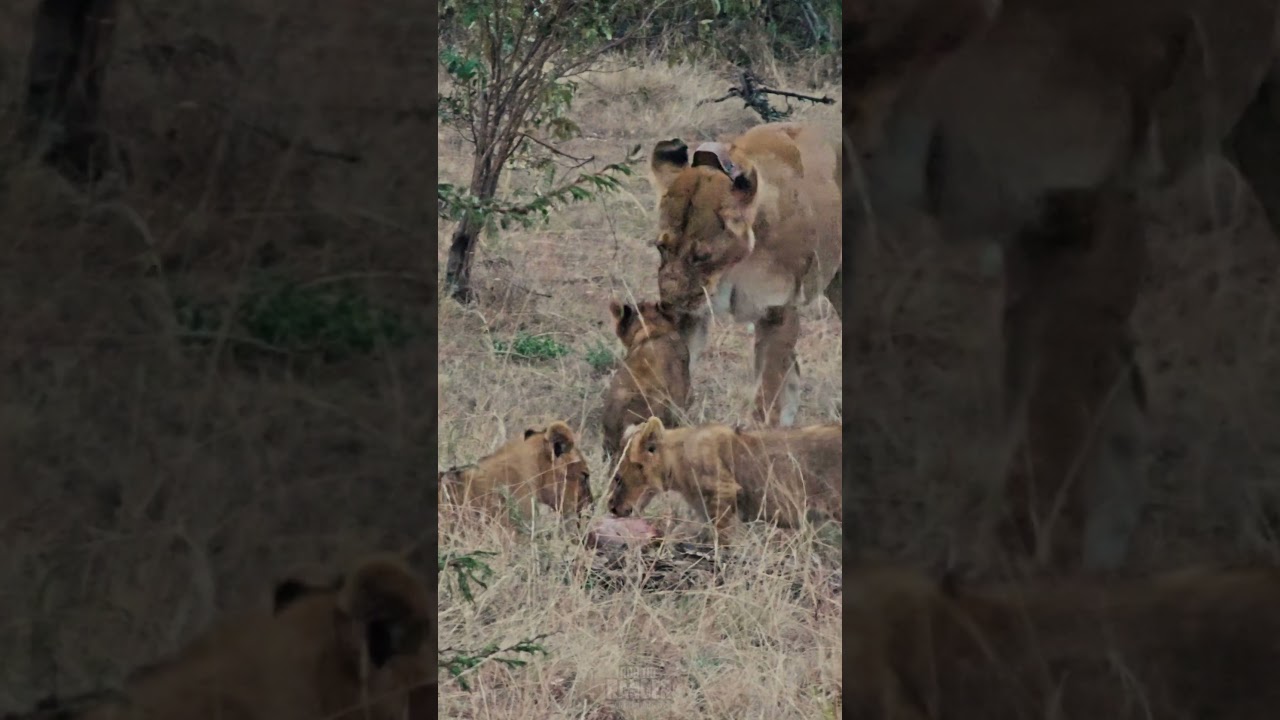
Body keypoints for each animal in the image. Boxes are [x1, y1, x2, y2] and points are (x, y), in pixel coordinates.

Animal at [647, 121, 842, 428]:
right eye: (662, 247)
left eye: (702, 256)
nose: (669, 302)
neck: (733, 268)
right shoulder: (689, 315)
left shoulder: (777, 311)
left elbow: (768, 391)